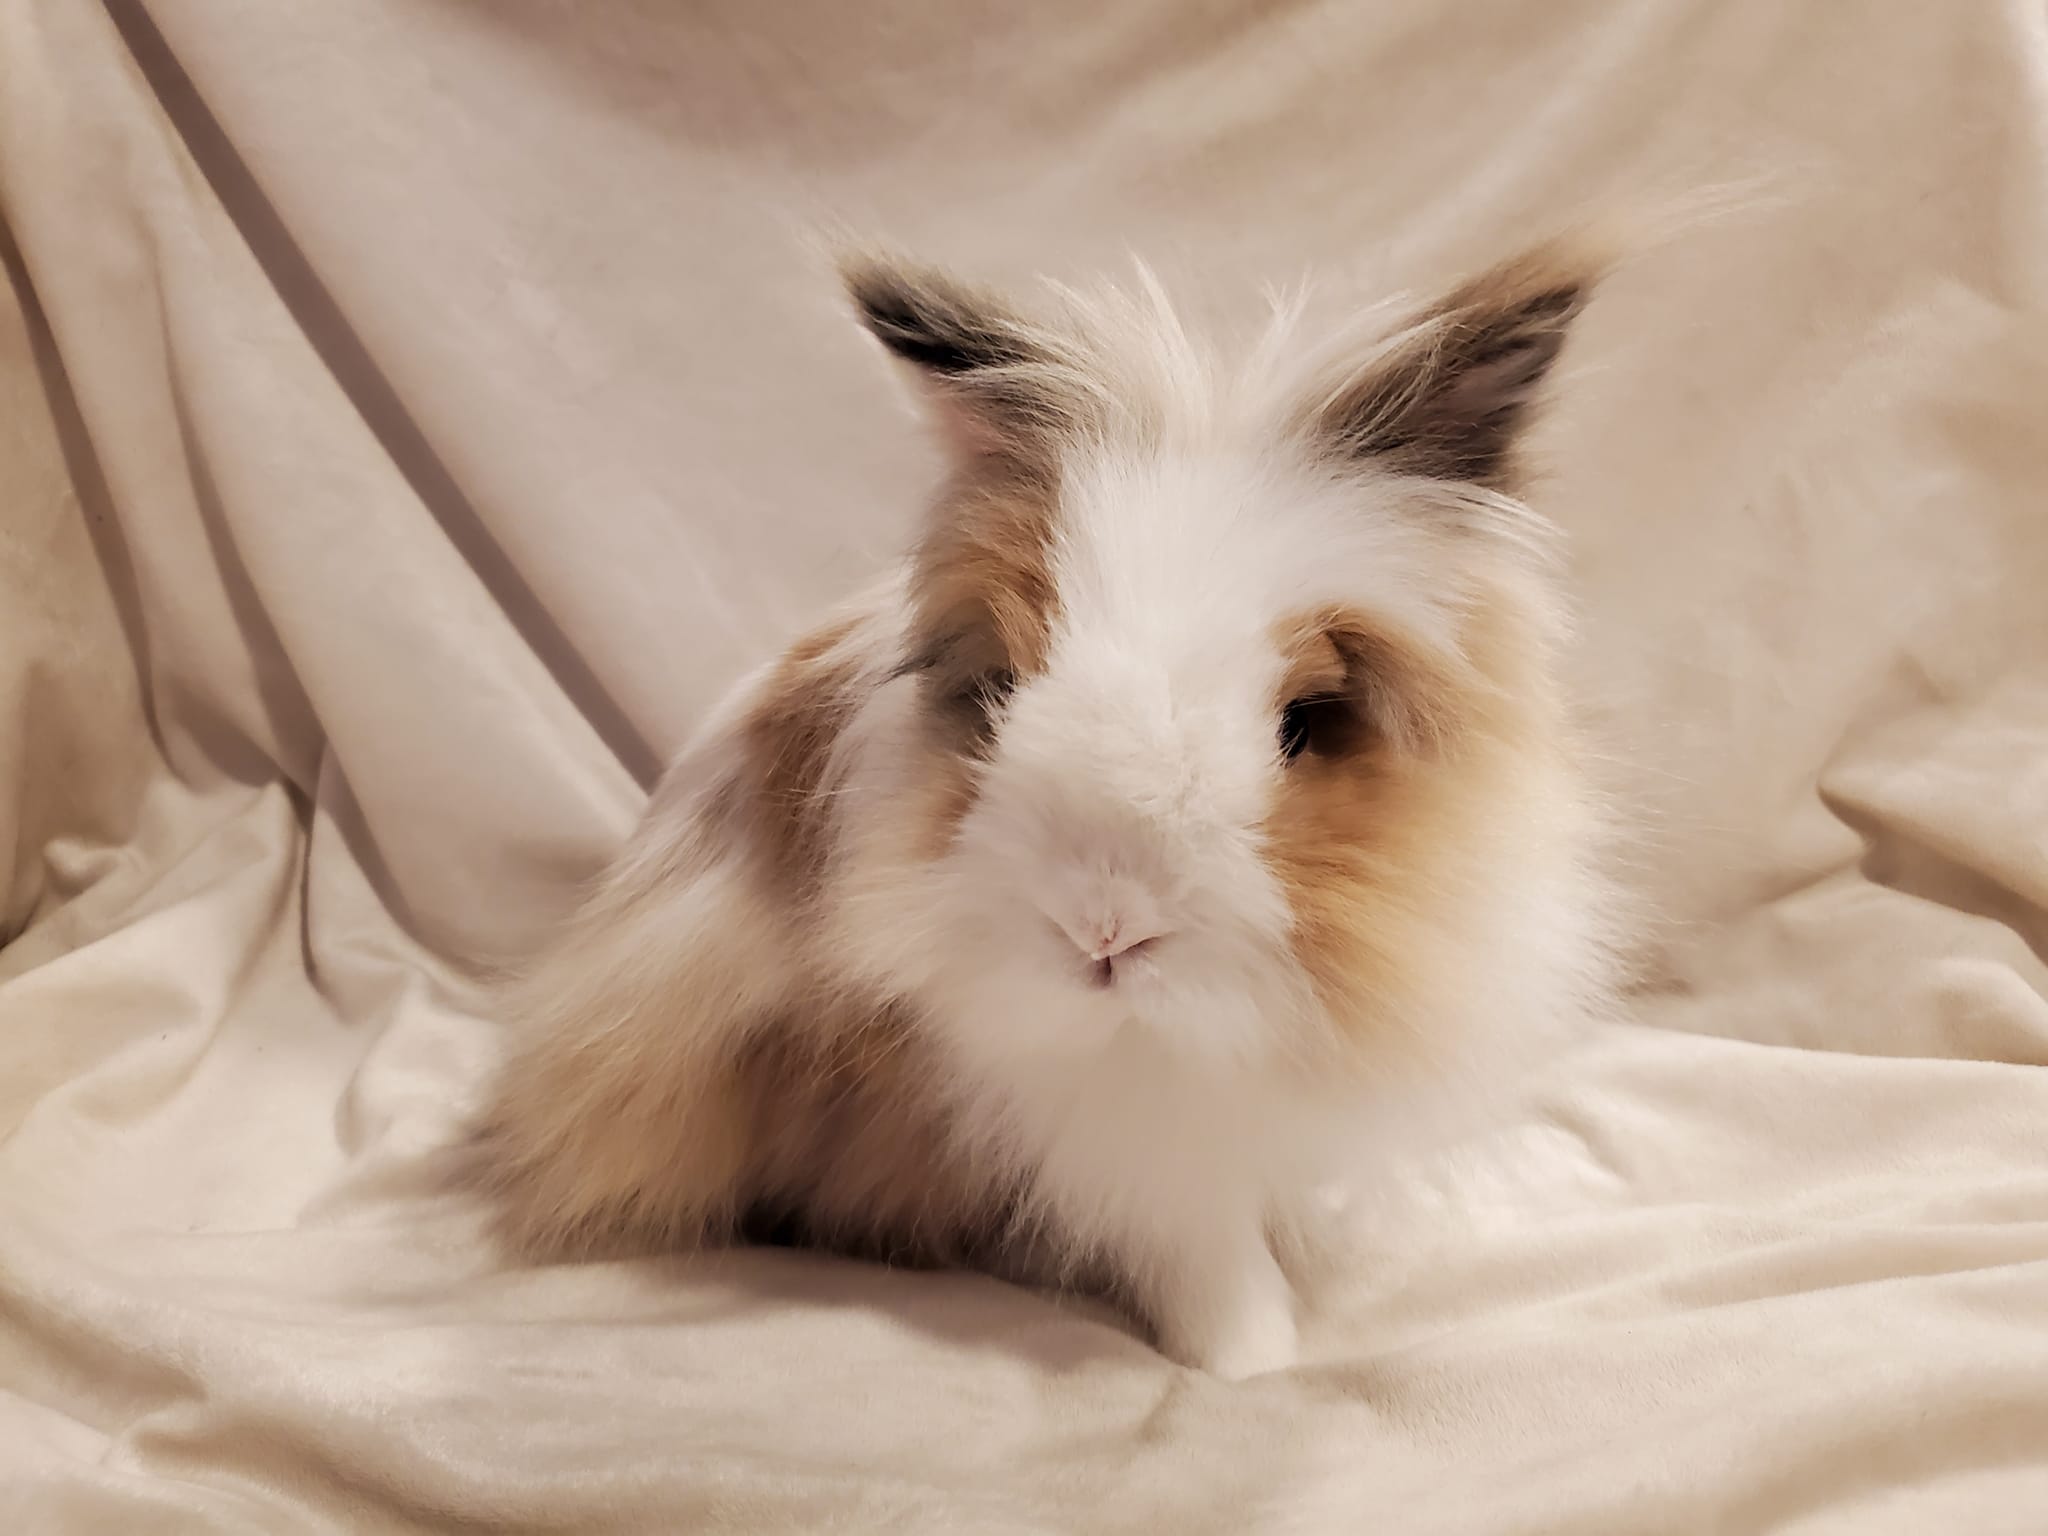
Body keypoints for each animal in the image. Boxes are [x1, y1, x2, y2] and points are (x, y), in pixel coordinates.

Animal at [465, 232, 1620, 1380]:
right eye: (1005, 689)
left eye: (1306, 722)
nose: (1104, 928)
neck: (1163, 1041)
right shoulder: (1111, 1131)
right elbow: (1198, 1242)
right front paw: (1250, 1358)